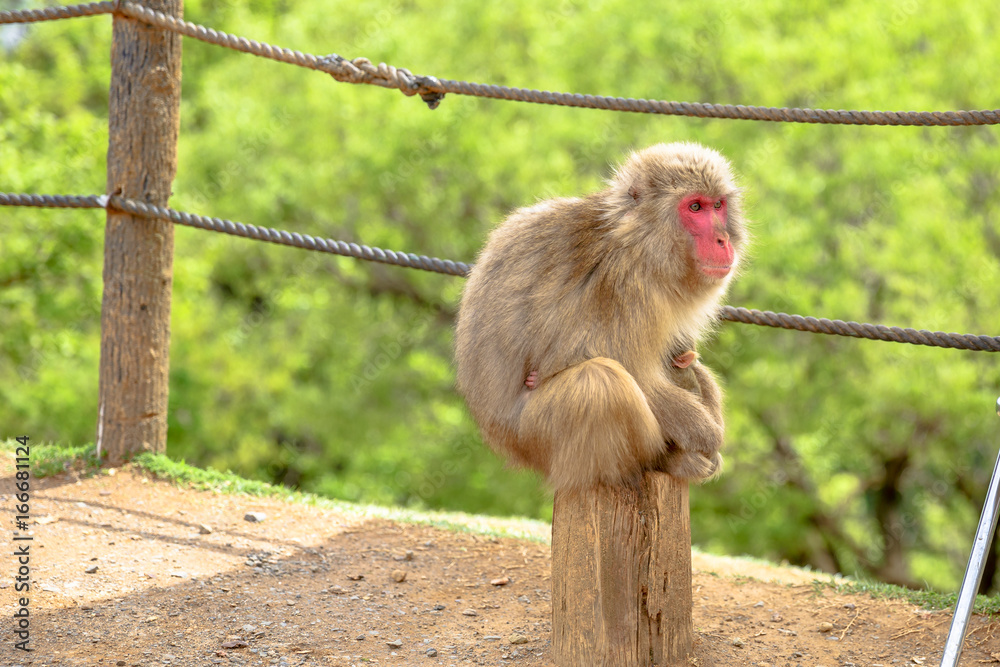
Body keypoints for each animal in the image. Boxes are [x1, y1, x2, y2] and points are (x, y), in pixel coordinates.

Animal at [454, 142, 748, 491]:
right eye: (694, 207)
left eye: (717, 205)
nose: (722, 239)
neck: (638, 238)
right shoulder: (627, 284)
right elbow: (634, 370)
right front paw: (706, 434)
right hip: (535, 438)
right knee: (600, 382)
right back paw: (662, 461)